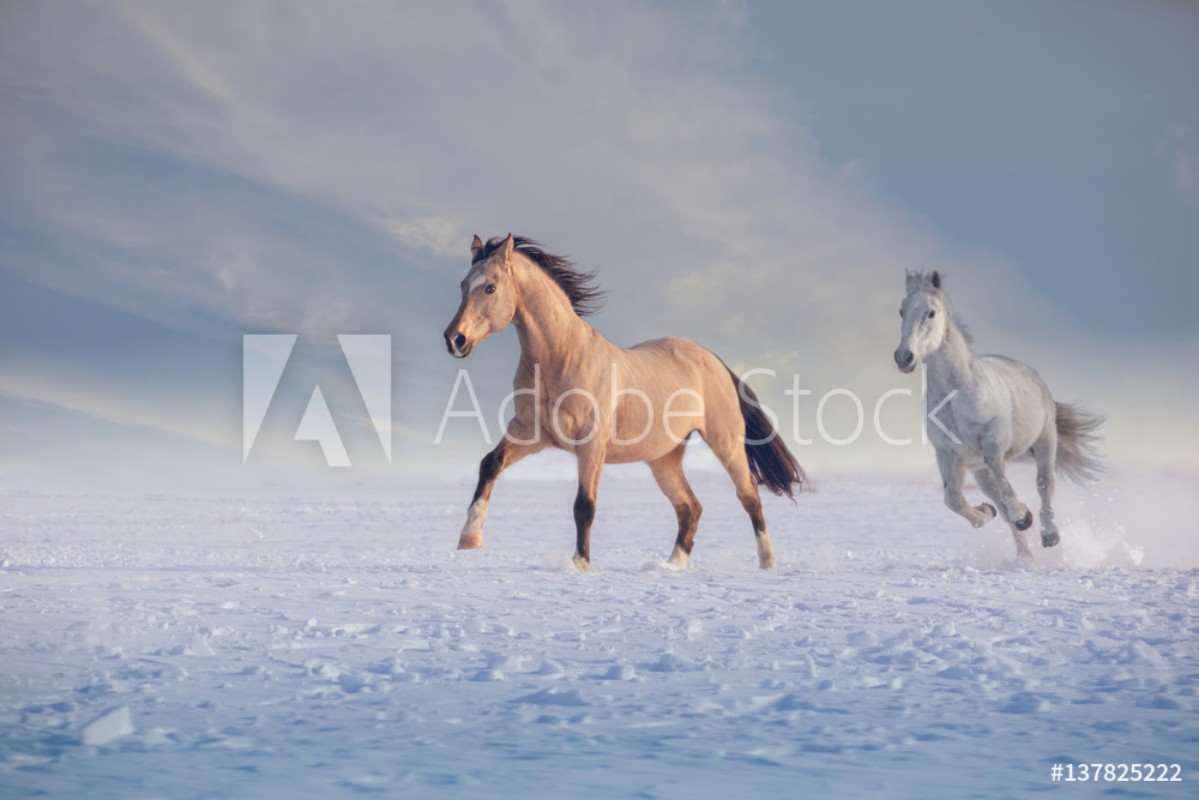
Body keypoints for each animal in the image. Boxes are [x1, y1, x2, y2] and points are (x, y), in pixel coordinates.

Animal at [443, 234, 806, 570]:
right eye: (462, 285)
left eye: (490, 287)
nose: (454, 339)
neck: (561, 358)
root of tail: (710, 358)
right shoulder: (531, 433)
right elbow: (490, 463)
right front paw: (469, 538)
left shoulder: (591, 445)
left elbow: (584, 505)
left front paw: (580, 564)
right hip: (663, 459)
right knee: (690, 507)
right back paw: (671, 565)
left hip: (725, 441)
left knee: (749, 496)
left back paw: (767, 562)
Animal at [894, 270, 1105, 559]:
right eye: (901, 311)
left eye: (931, 312)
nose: (904, 357)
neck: (954, 395)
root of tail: (1032, 373)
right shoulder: (947, 452)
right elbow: (954, 499)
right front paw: (989, 512)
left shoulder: (993, 438)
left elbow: (1003, 478)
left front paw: (1022, 513)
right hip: (979, 471)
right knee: (1001, 506)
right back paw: (1025, 557)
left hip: (1045, 441)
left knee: (1044, 484)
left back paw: (1049, 534)